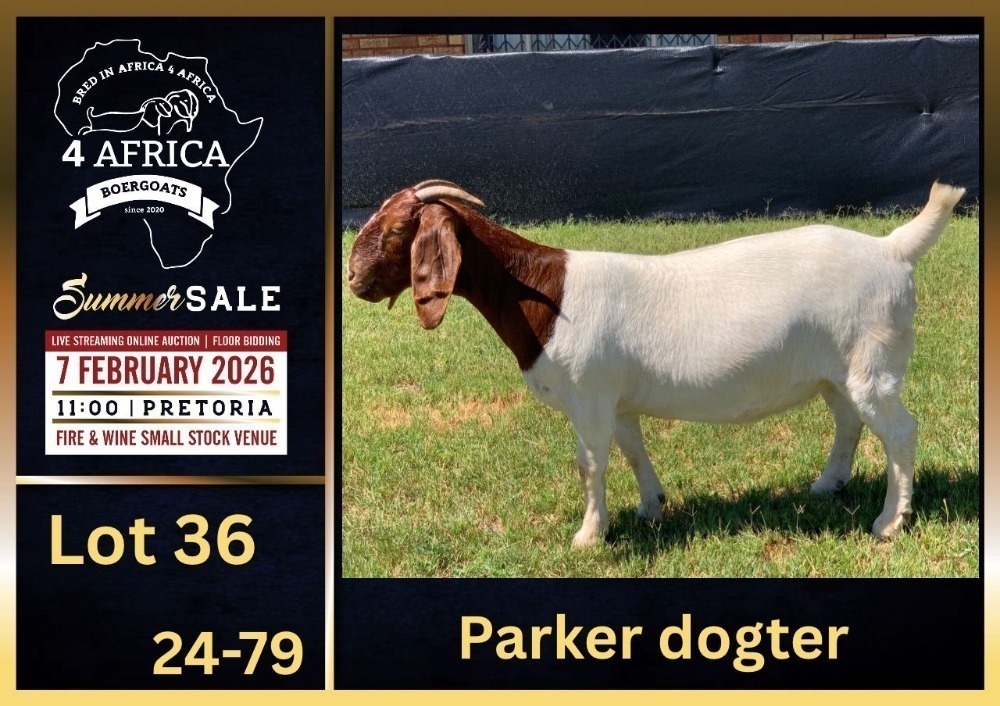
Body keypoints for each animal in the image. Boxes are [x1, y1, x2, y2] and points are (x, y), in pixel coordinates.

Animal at [347, 179, 965, 547]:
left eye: (399, 230)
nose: (353, 278)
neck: (545, 292)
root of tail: (891, 249)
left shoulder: (589, 396)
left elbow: (590, 463)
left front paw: (589, 536)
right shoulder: (617, 399)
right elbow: (631, 448)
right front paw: (652, 508)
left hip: (873, 361)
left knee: (900, 431)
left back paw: (889, 522)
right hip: (838, 369)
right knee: (849, 421)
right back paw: (827, 485)